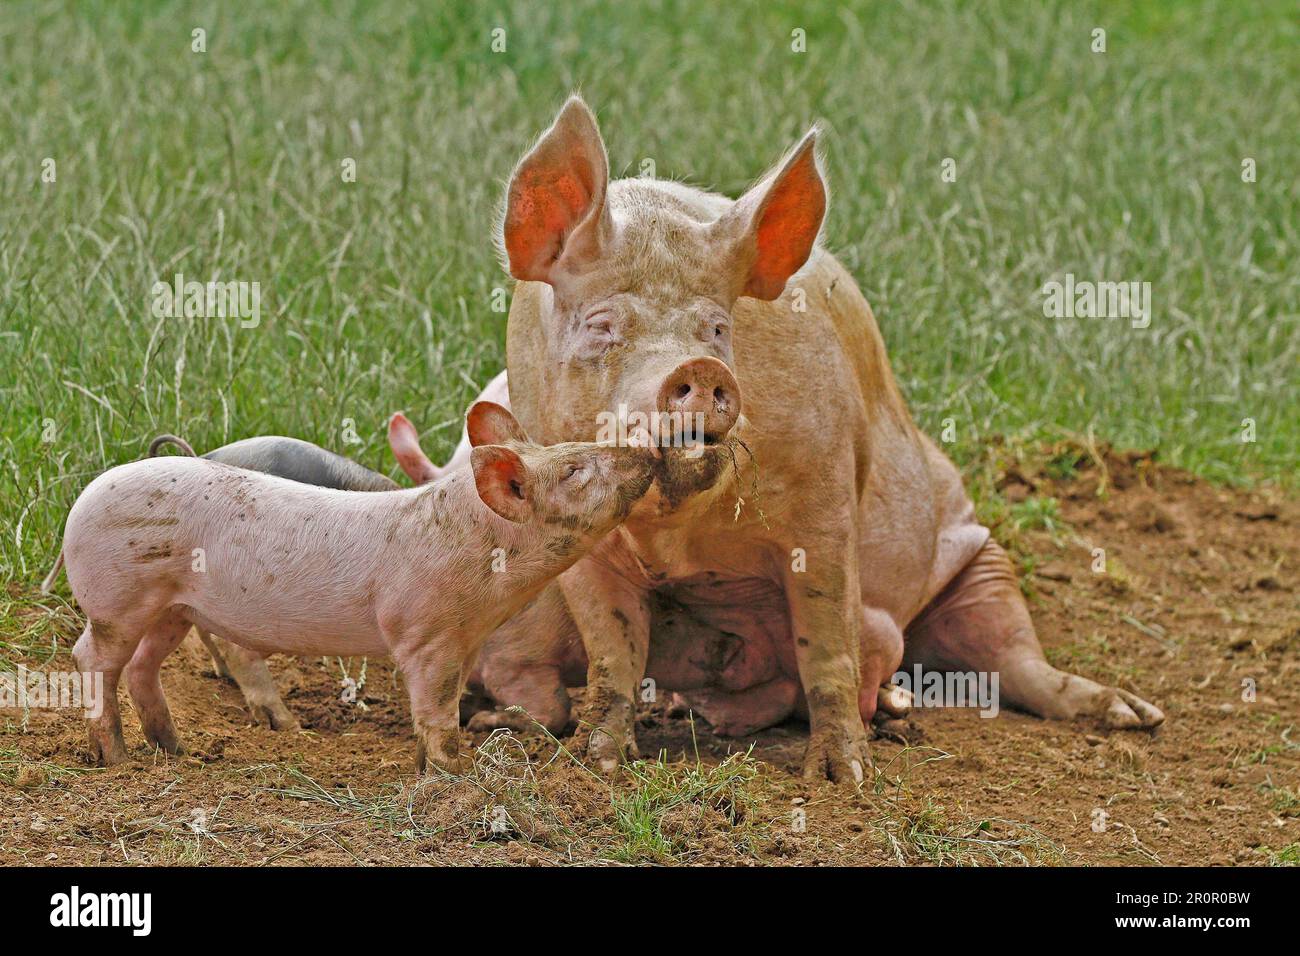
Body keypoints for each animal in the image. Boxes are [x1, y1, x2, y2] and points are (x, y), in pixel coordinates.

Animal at [60, 401, 655, 772]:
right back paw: (116, 759)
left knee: (142, 666)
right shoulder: (426, 635)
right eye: (574, 470)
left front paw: (434, 763)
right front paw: (452, 774)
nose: (647, 446)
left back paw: (177, 752)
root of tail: (85, 497)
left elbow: (444, 703)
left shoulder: (465, 641)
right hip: (118, 598)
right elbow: (435, 708)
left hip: (173, 608)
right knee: (92, 657)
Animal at [439, 96, 1163, 782]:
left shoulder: (826, 495)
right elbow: (613, 650)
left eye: (718, 329)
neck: (675, 533)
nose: (701, 371)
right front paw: (594, 764)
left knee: (1009, 656)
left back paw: (1132, 716)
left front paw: (843, 779)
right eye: (602, 325)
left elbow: (827, 641)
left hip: (979, 553)